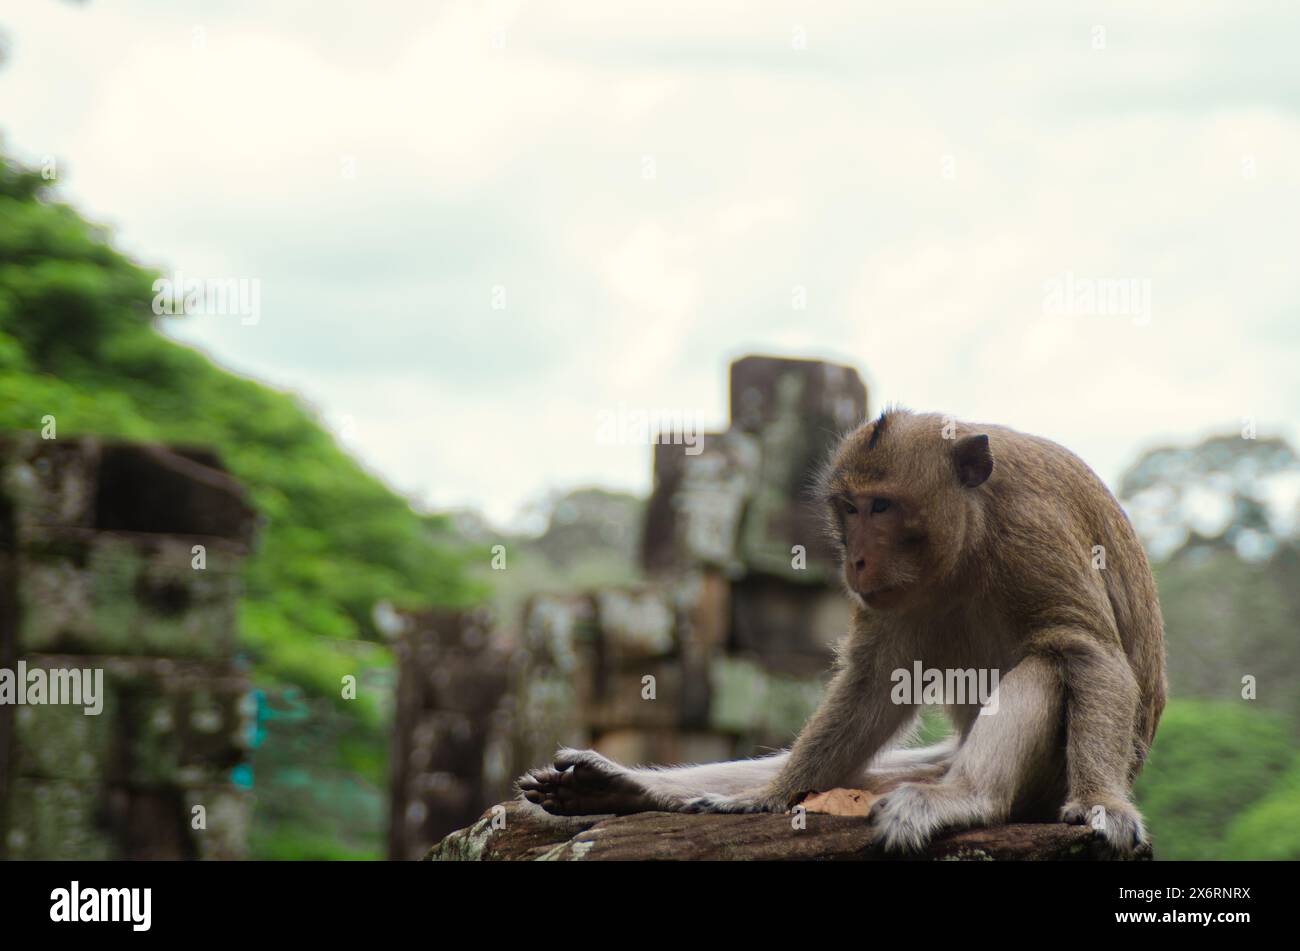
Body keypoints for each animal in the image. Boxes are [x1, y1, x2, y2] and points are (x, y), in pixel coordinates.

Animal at [518, 408, 1166, 855]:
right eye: (849, 508)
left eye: (882, 507)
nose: (854, 560)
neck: (971, 534)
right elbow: (873, 685)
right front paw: (766, 797)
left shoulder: (1033, 531)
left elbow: (1089, 653)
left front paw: (1101, 805)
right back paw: (629, 790)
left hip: (1044, 779)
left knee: (1048, 667)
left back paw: (965, 797)